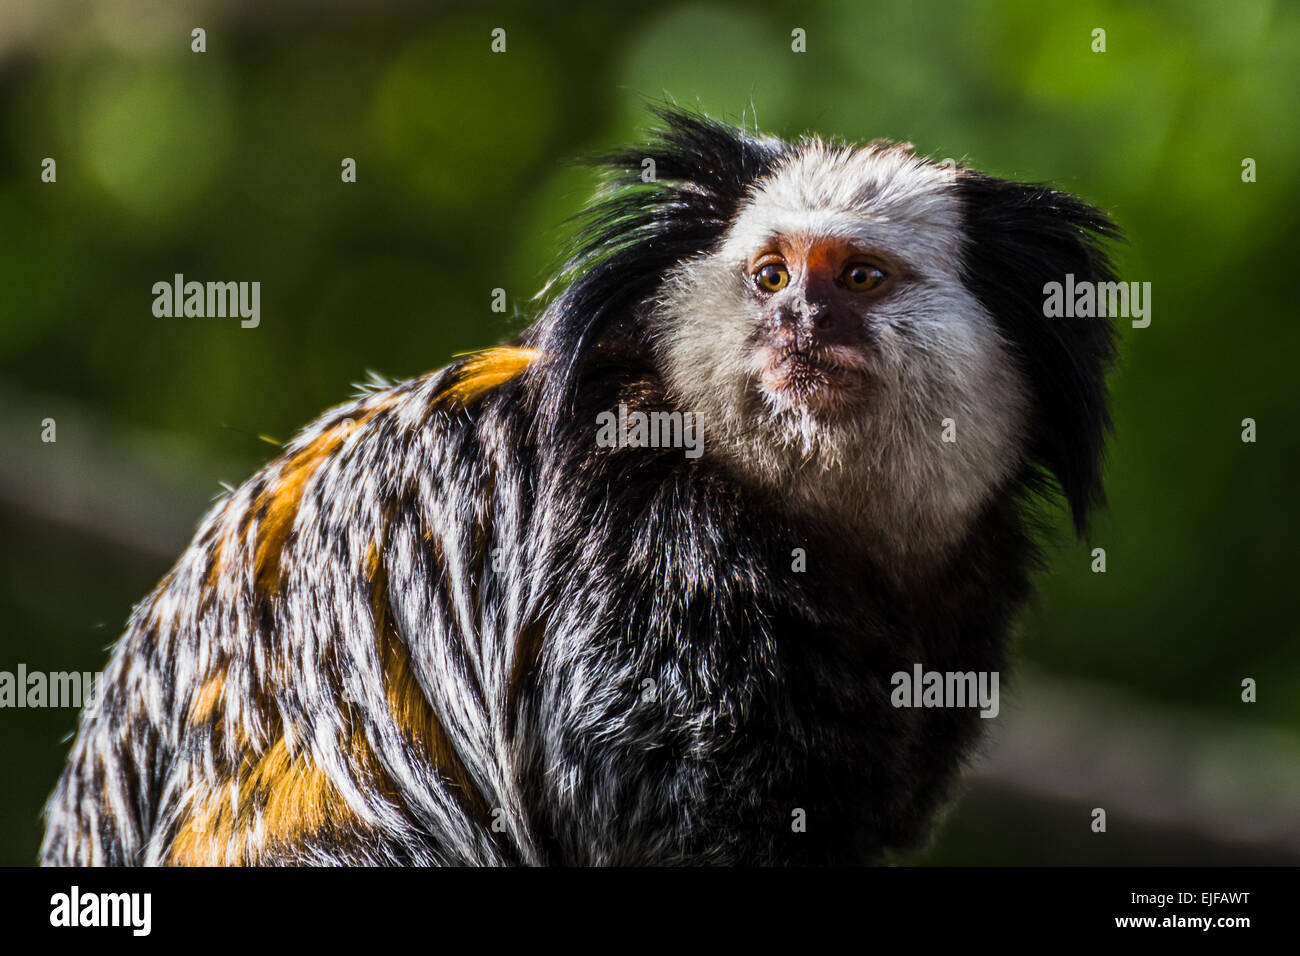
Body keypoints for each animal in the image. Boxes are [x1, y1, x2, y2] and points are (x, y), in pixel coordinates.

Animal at [41, 106, 1119, 866]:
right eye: (771, 275)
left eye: (858, 276)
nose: (797, 325)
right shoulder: (635, 551)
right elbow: (639, 803)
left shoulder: (962, 597)